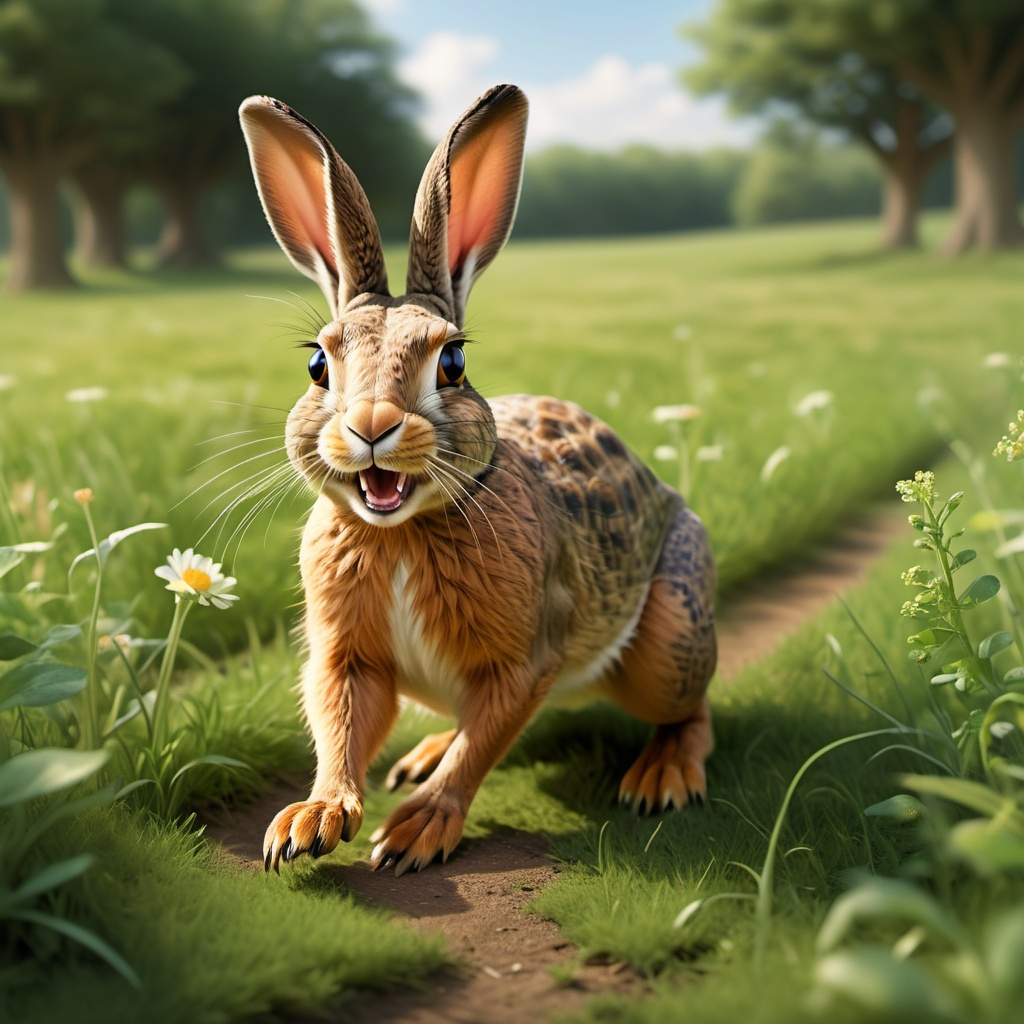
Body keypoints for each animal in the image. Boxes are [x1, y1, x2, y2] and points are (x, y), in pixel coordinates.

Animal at [239, 84, 717, 877]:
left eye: (453, 362)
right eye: (318, 363)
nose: (372, 425)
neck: (402, 532)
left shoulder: (524, 658)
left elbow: (485, 740)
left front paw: (415, 832)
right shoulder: (346, 657)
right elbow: (342, 725)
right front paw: (311, 821)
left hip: (671, 633)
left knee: (688, 705)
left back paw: (663, 776)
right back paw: (419, 759)